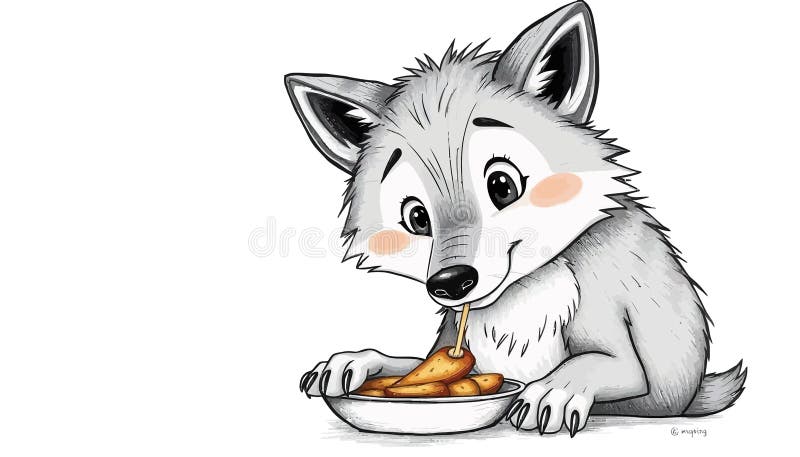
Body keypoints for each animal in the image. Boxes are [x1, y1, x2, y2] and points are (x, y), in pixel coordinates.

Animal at [286, 1, 745, 436]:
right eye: (417, 218)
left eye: (502, 186)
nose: (450, 283)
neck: (519, 298)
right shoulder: (459, 351)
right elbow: (410, 362)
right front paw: (355, 362)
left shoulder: (619, 346)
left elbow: (589, 364)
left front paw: (554, 392)